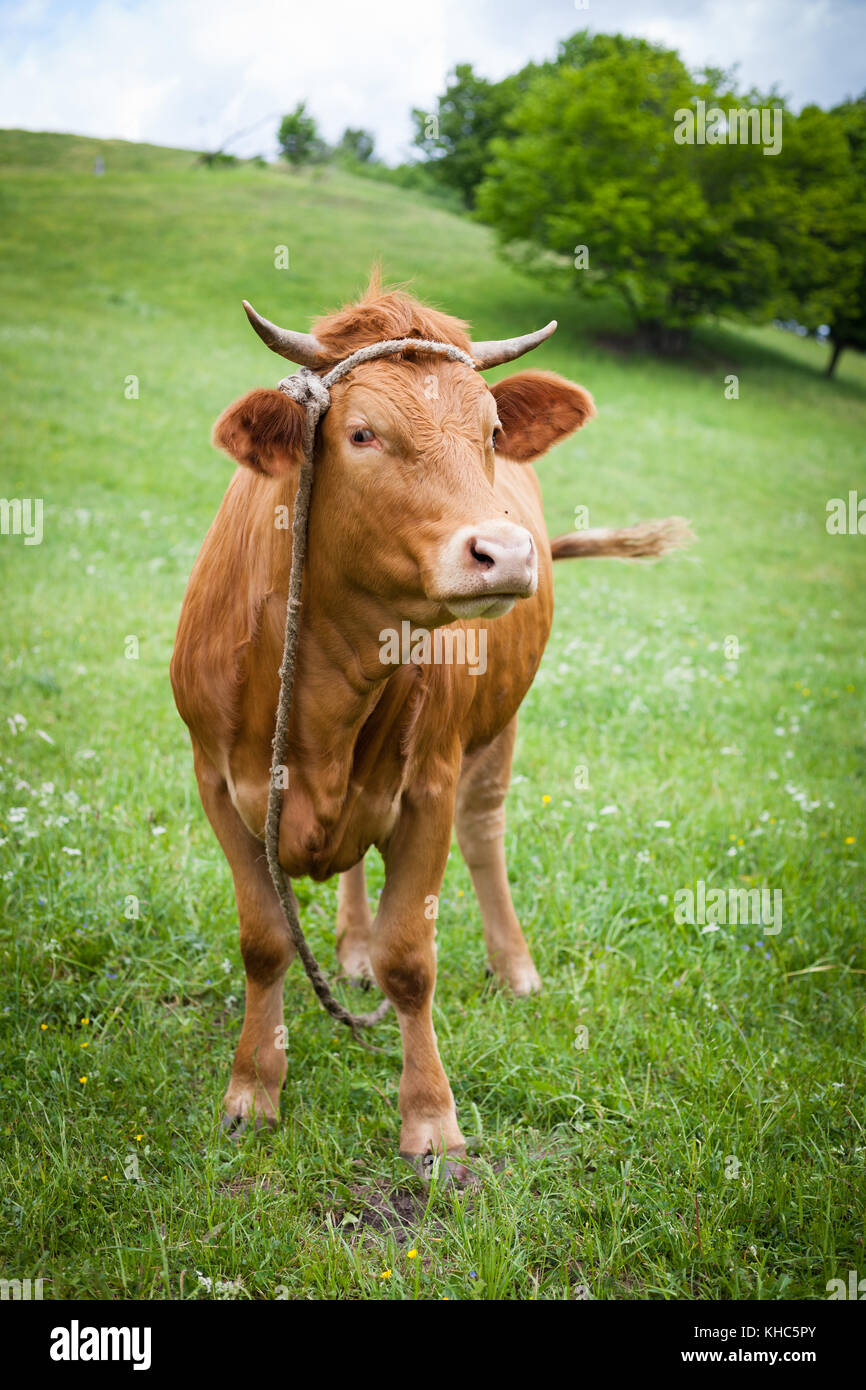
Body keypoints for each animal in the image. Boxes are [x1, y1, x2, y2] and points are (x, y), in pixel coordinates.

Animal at [170, 275, 688, 1178]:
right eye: (362, 433)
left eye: (492, 433)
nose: (506, 551)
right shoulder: (218, 784)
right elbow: (265, 941)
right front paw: (252, 1090)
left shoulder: (429, 789)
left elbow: (412, 960)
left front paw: (432, 1124)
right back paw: (348, 950)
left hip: (498, 730)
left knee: (486, 836)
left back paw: (513, 967)